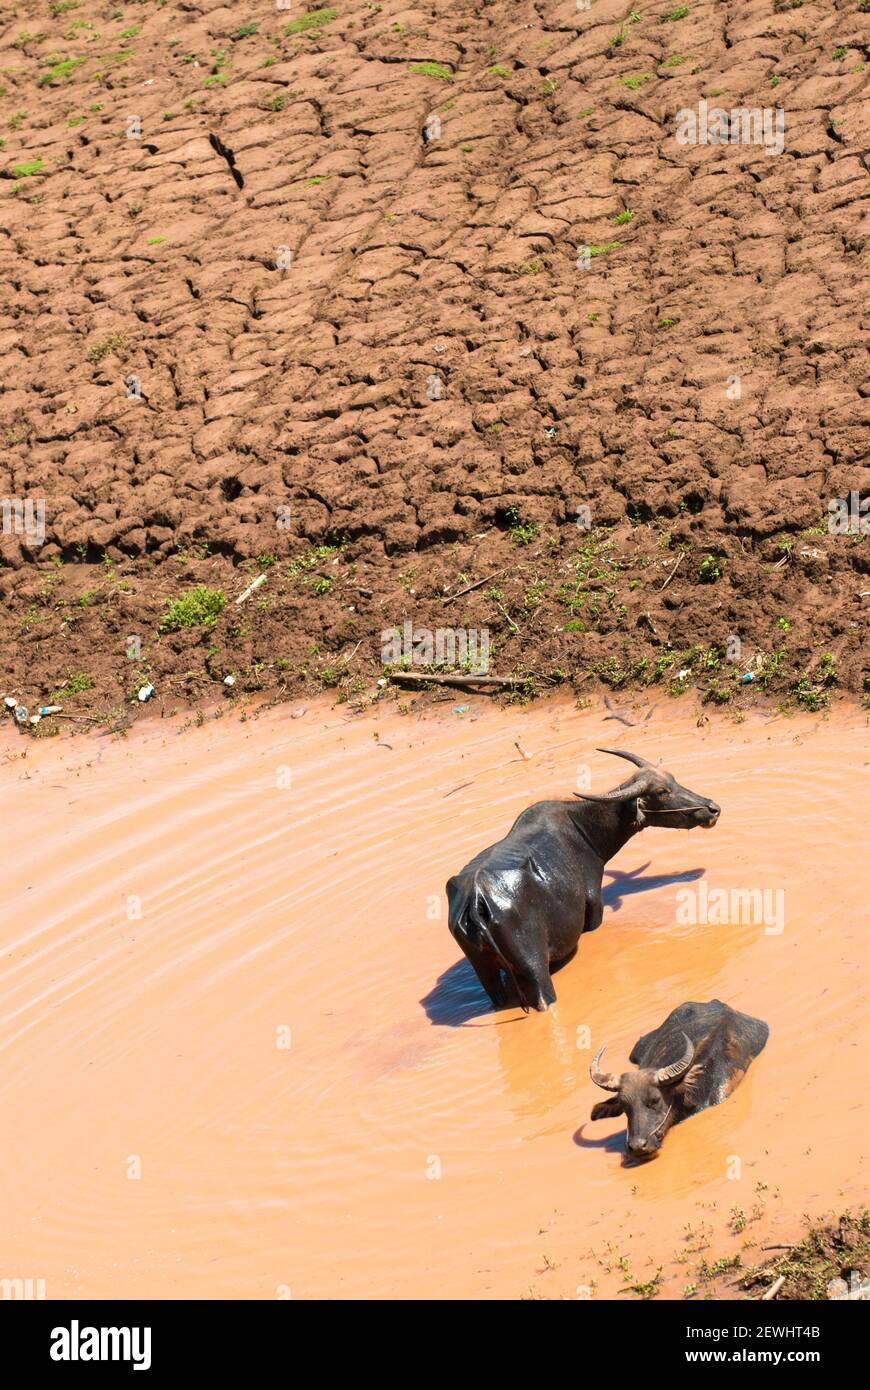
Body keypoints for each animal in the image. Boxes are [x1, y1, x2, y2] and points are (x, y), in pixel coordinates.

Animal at [446, 748, 720, 1012]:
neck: (584, 830)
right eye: (662, 791)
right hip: (535, 969)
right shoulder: (594, 905)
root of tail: (475, 899)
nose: (712, 808)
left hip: (486, 973)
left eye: (673, 779)